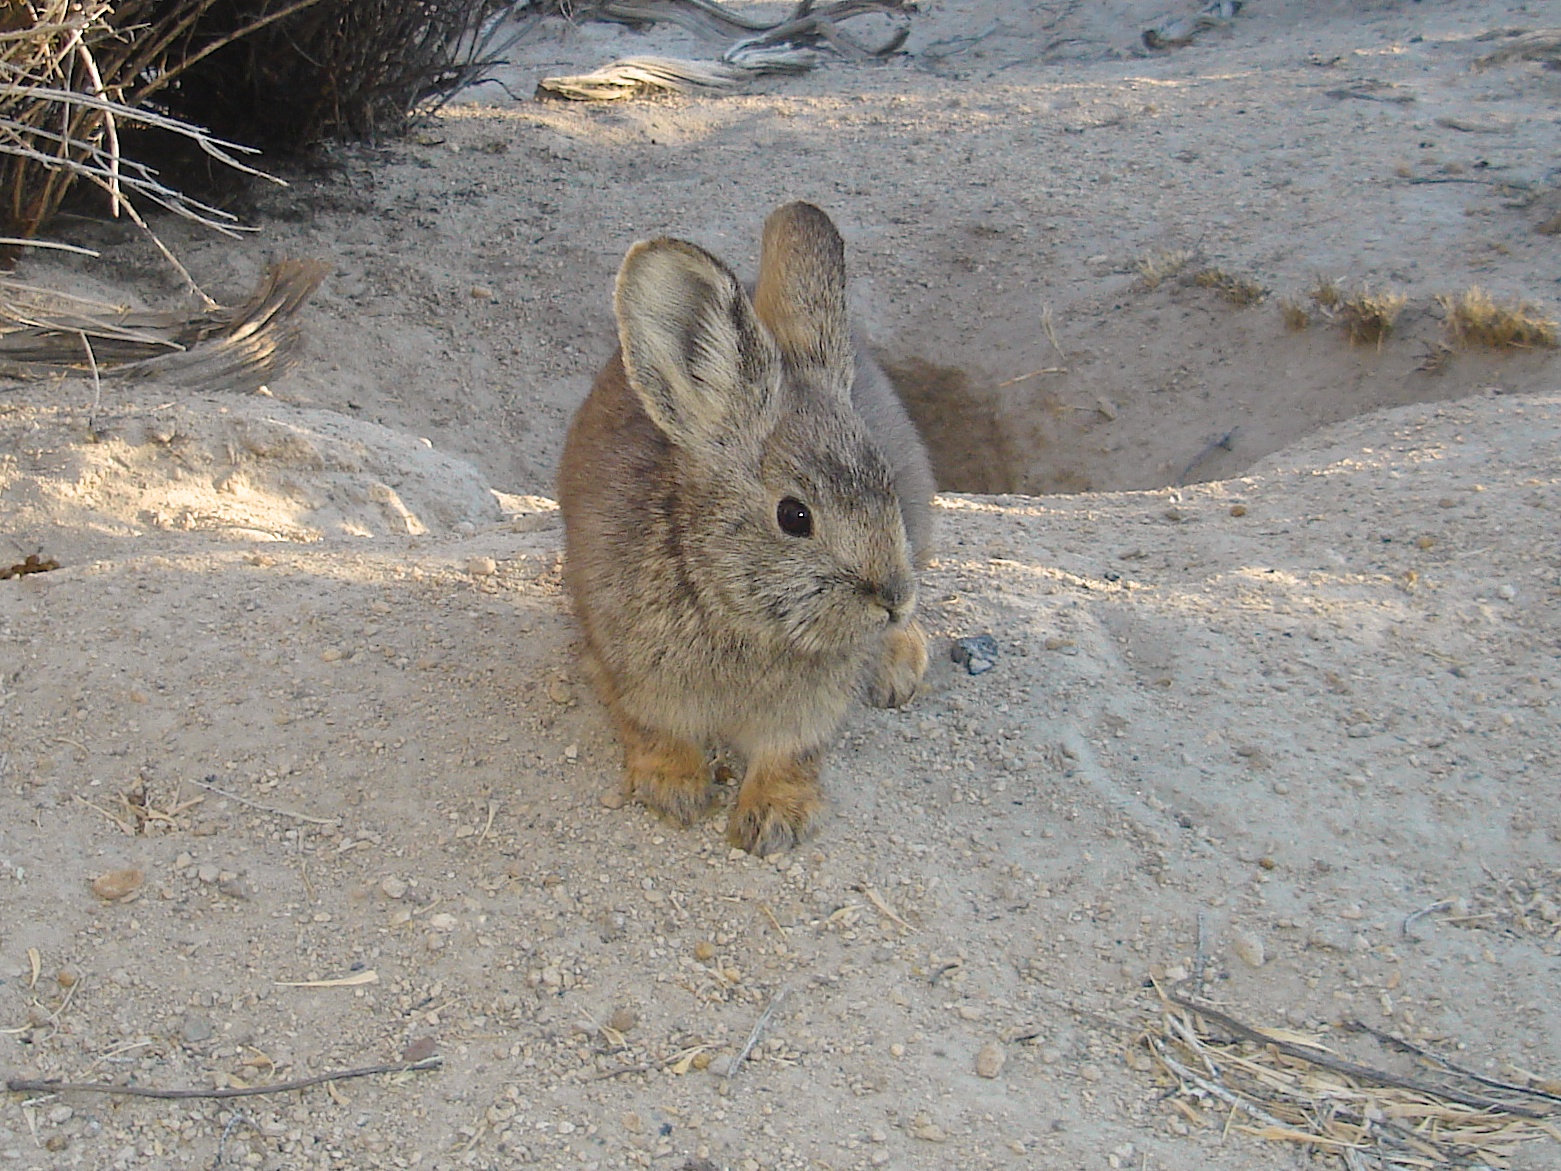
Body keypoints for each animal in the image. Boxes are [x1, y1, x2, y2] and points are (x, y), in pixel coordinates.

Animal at [558, 201, 935, 856]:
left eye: (884, 481)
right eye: (794, 516)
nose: (892, 598)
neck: (729, 605)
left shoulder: (808, 714)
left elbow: (792, 755)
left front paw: (774, 819)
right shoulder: (631, 677)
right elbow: (654, 731)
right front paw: (675, 791)